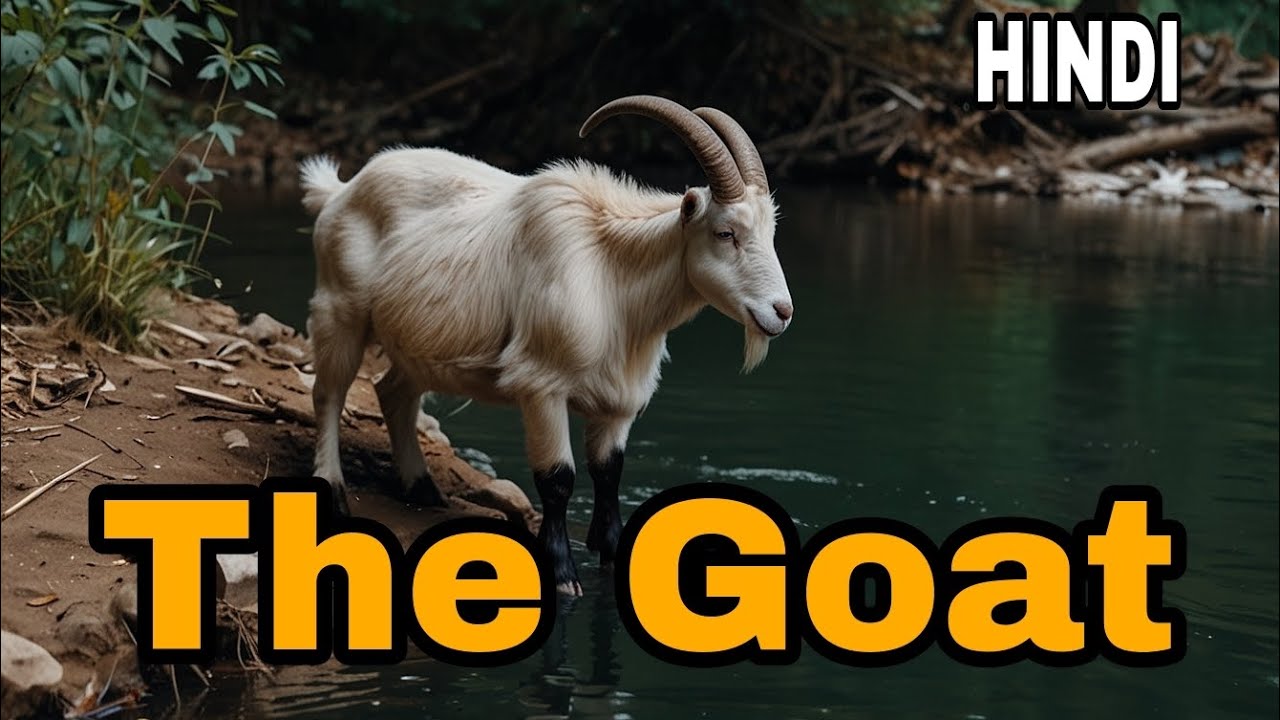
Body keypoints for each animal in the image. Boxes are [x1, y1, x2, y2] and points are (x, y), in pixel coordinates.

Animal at [300, 95, 793, 595]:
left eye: (771, 232)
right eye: (726, 233)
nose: (782, 312)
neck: (611, 274)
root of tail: (340, 191)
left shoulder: (618, 401)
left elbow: (608, 473)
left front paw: (609, 554)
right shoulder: (541, 385)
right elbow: (557, 478)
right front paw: (562, 574)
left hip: (414, 345)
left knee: (393, 392)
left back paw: (422, 488)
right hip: (340, 310)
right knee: (329, 393)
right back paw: (334, 488)